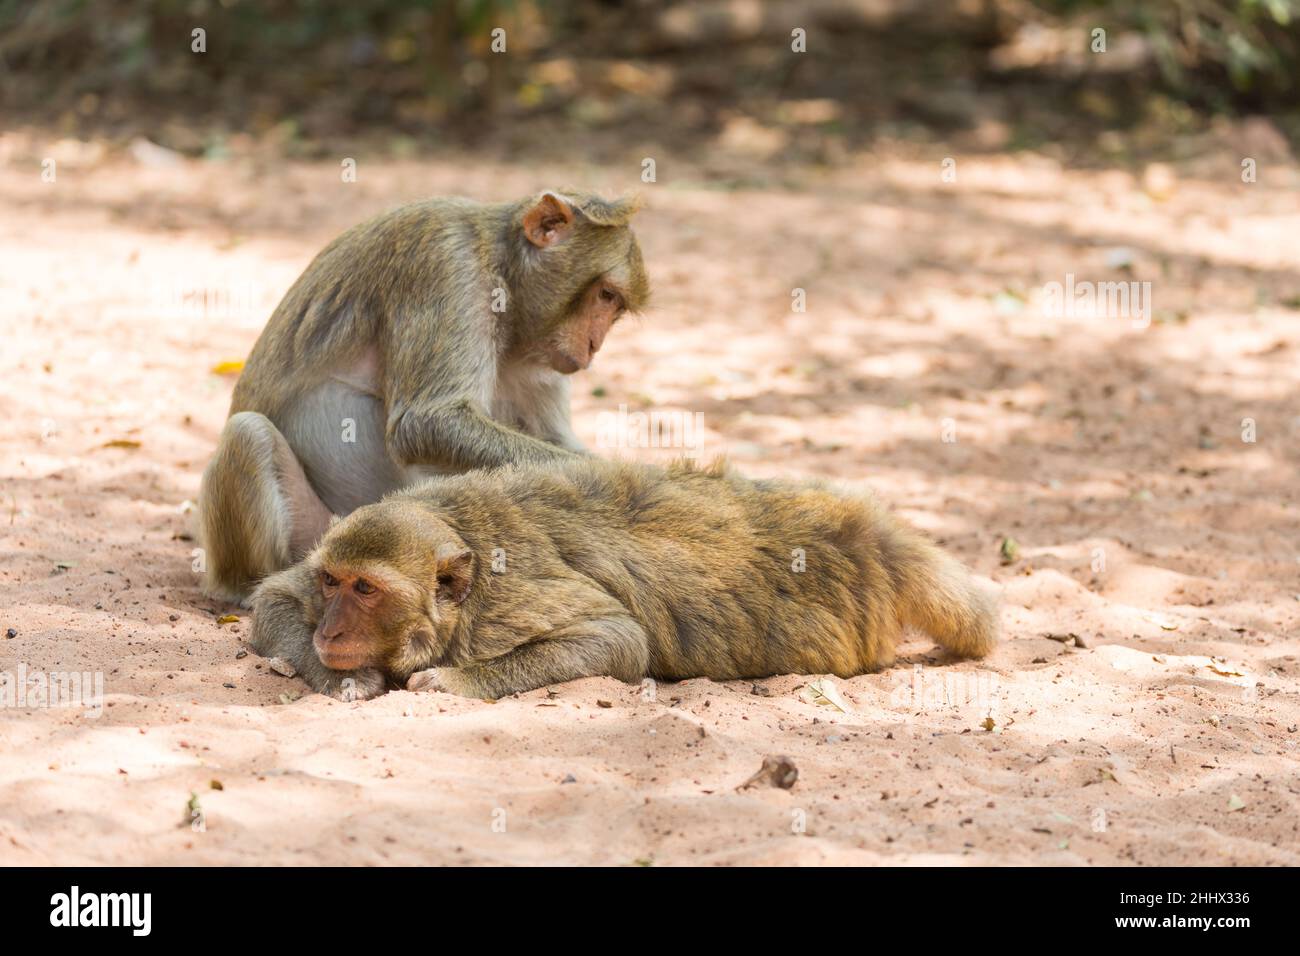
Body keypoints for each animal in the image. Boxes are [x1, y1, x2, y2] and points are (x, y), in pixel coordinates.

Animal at [198, 190, 649, 605]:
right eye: (605, 295)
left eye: (614, 307)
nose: (594, 346)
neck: (500, 272)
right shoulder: (448, 264)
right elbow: (427, 423)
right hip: (320, 542)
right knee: (249, 434)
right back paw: (258, 588)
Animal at [248, 457, 999, 701]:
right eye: (333, 582)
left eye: (366, 591)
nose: (331, 630)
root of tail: (870, 534)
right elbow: (272, 600)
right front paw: (346, 680)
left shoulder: (508, 603)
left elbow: (618, 638)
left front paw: (451, 681)